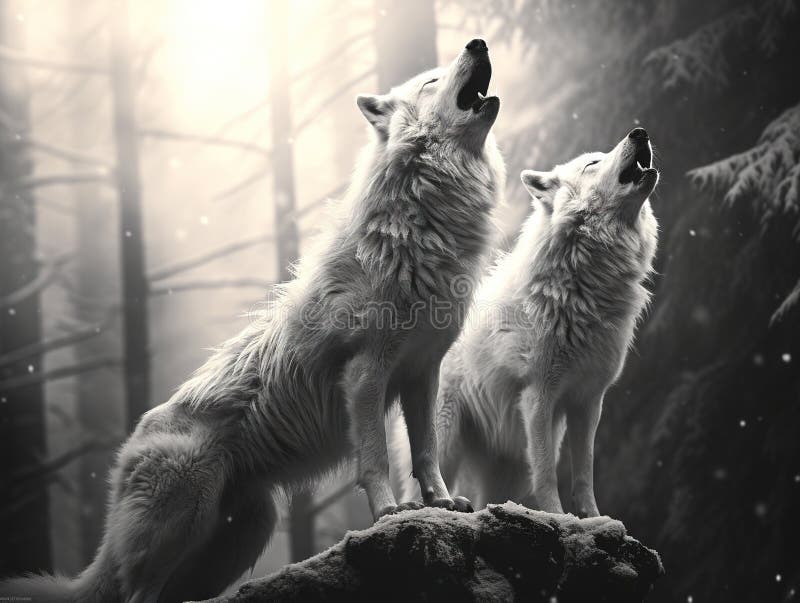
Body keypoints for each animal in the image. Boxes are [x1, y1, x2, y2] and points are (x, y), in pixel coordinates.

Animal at [1, 39, 504, 603]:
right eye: (431, 81)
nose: (478, 43)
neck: (422, 229)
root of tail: (126, 454)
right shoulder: (365, 373)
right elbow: (374, 457)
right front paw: (392, 512)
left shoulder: (422, 373)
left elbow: (426, 451)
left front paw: (443, 503)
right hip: (186, 519)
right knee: (135, 594)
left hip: (245, 534)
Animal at [394, 128, 659, 518]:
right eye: (593, 163)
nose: (640, 132)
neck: (583, 284)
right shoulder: (539, 395)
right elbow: (547, 471)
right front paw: (557, 516)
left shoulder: (588, 401)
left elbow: (585, 473)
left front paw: (593, 518)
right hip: (446, 434)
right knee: (417, 483)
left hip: (506, 464)